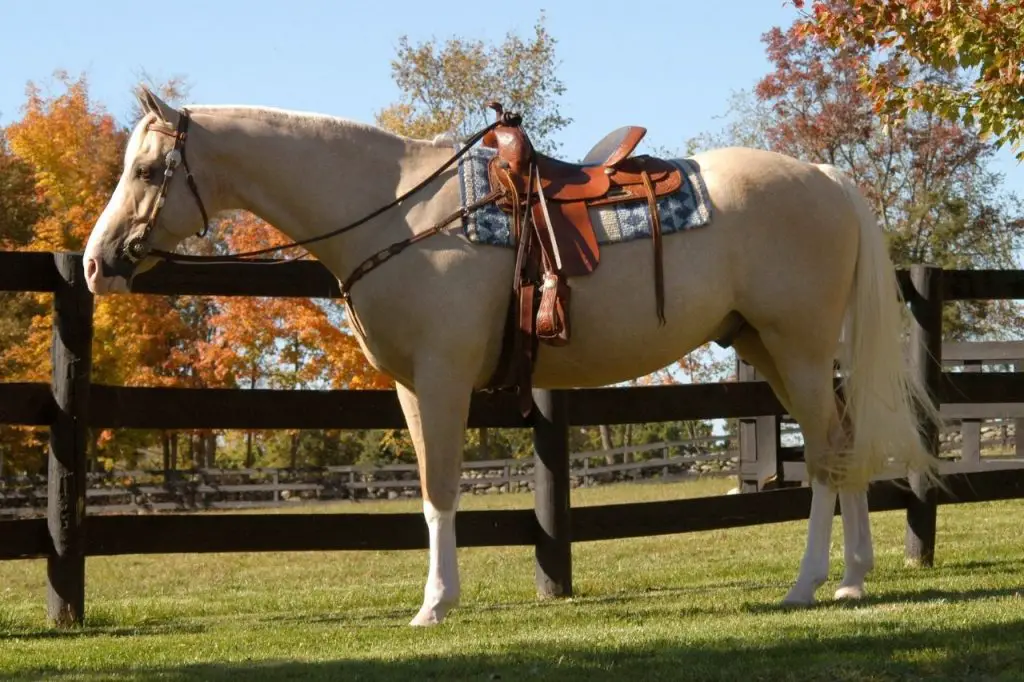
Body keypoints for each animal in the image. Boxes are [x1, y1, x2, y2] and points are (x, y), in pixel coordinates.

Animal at [83, 86, 939, 627]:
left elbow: (440, 490)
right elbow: (432, 494)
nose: (96, 262)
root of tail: (825, 177)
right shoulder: (409, 388)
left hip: (798, 349)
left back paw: (809, 584)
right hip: (770, 349)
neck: (398, 211)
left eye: (150, 170)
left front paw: (435, 605)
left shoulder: (441, 379)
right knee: (842, 446)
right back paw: (851, 580)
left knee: (827, 456)